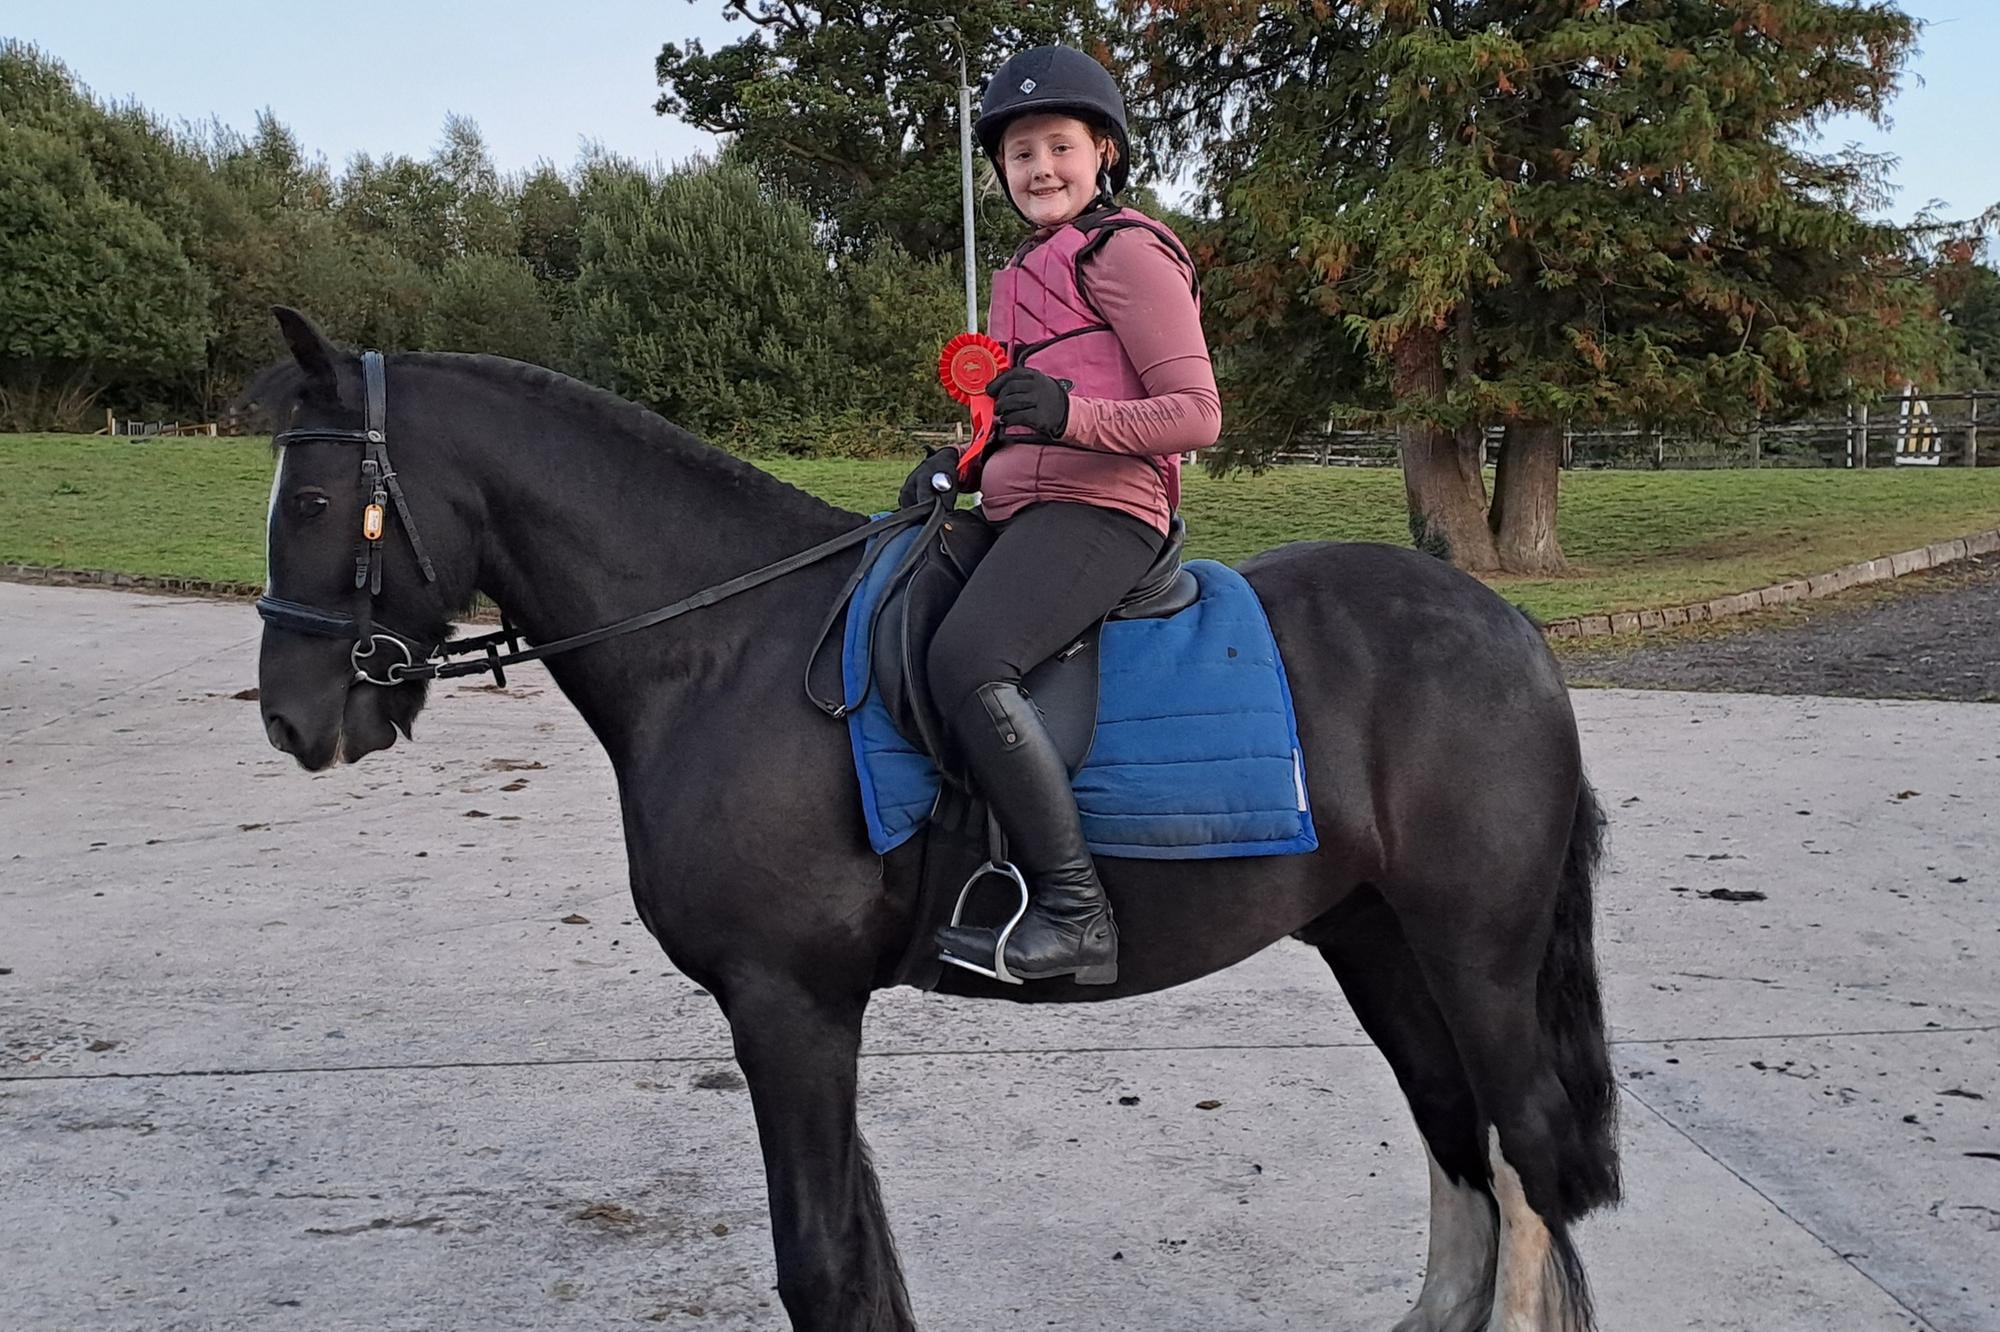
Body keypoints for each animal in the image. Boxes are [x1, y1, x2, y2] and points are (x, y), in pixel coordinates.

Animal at [250, 308, 1619, 1332]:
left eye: (311, 503)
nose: (288, 716)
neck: (722, 647)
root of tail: (1505, 626)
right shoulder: (797, 1014)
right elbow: (854, 1253)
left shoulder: (787, 1004)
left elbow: (817, 1261)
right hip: (1373, 938)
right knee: (1450, 1124)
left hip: (1473, 950)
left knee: (1520, 1141)